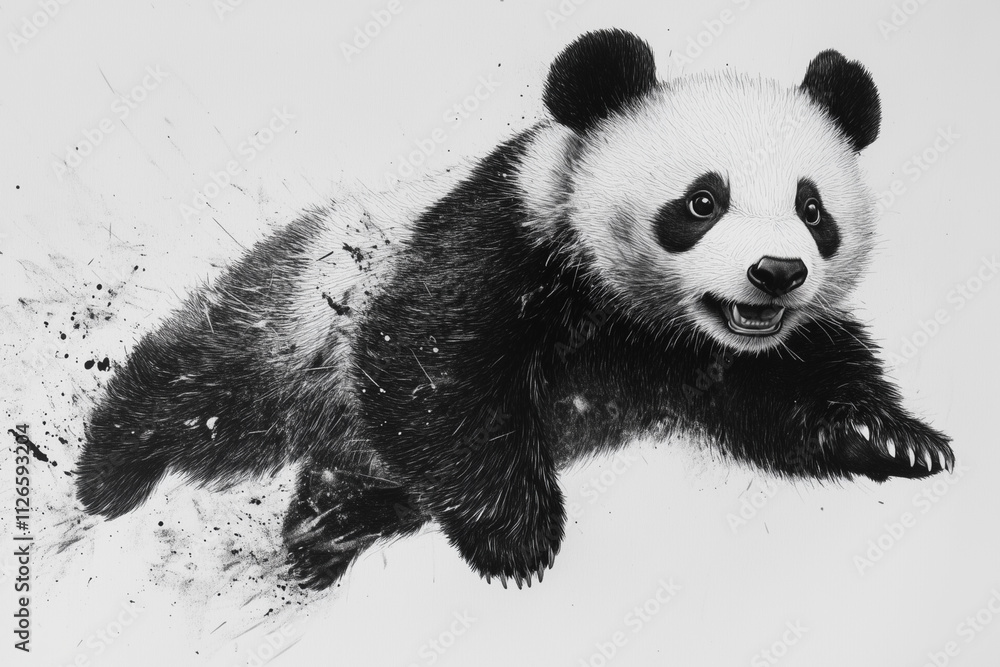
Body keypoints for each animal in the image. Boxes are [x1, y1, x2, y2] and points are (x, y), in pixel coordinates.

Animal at [75, 29, 954, 590]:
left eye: (813, 209)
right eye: (703, 201)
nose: (777, 272)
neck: (641, 320)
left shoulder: (718, 355)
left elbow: (792, 393)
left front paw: (896, 439)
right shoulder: (504, 241)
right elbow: (427, 362)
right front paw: (518, 538)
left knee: (346, 484)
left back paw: (314, 542)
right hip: (293, 331)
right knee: (203, 393)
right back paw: (107, 474)